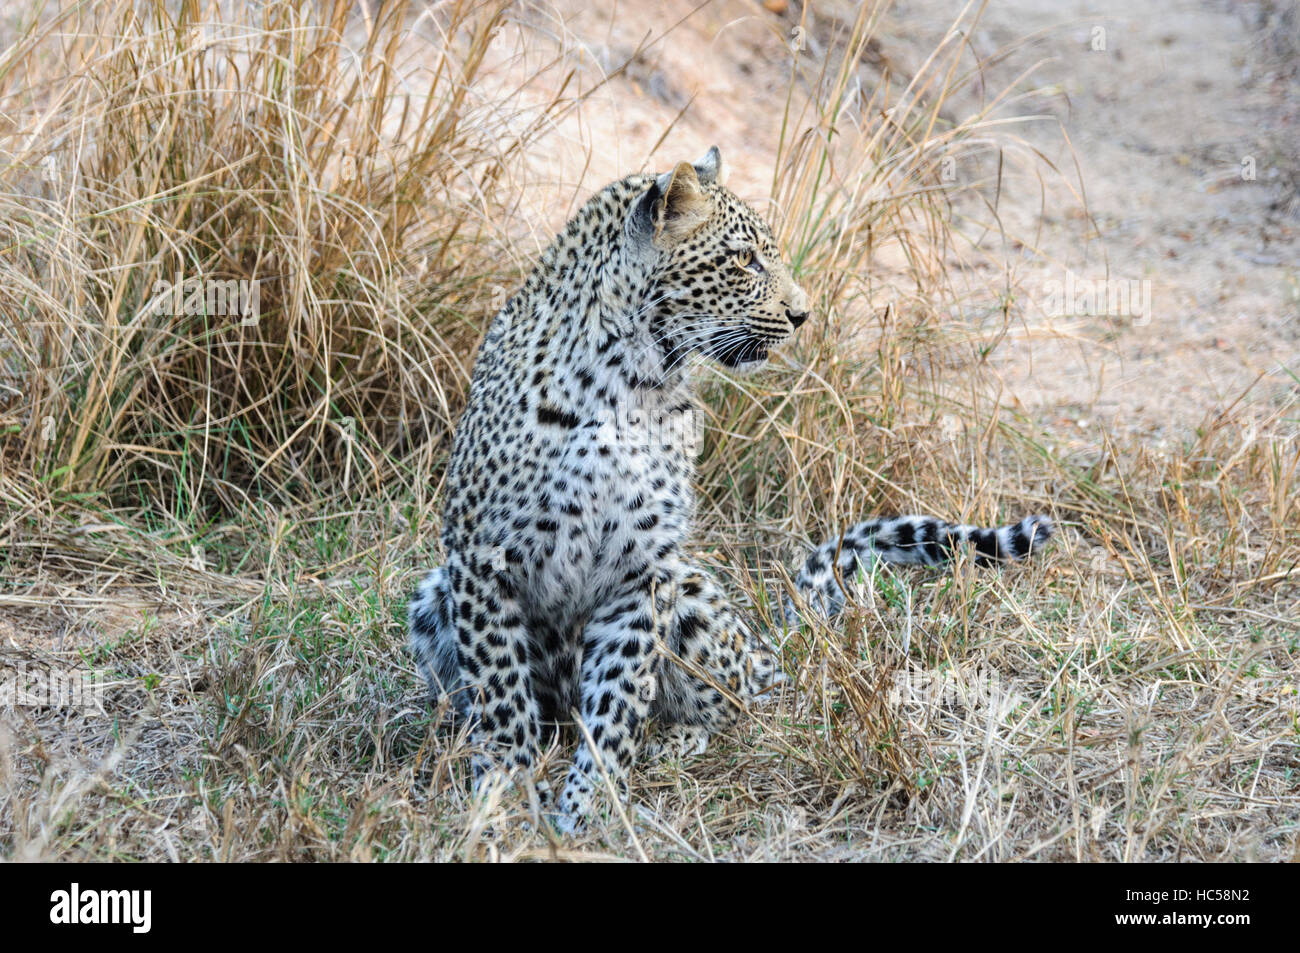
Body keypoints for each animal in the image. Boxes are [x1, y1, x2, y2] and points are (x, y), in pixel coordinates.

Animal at [407, 146, 1054, 831]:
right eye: (744, 260)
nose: (802, 314)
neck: (633, 386)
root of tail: (763, 645)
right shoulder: (482, 558)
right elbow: (502, 694)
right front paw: (504, 794)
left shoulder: (644, 571)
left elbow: (620, 699)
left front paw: (593, 802)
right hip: (431, 597)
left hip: (695, 600)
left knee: (736, 705)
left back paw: (671, 741)